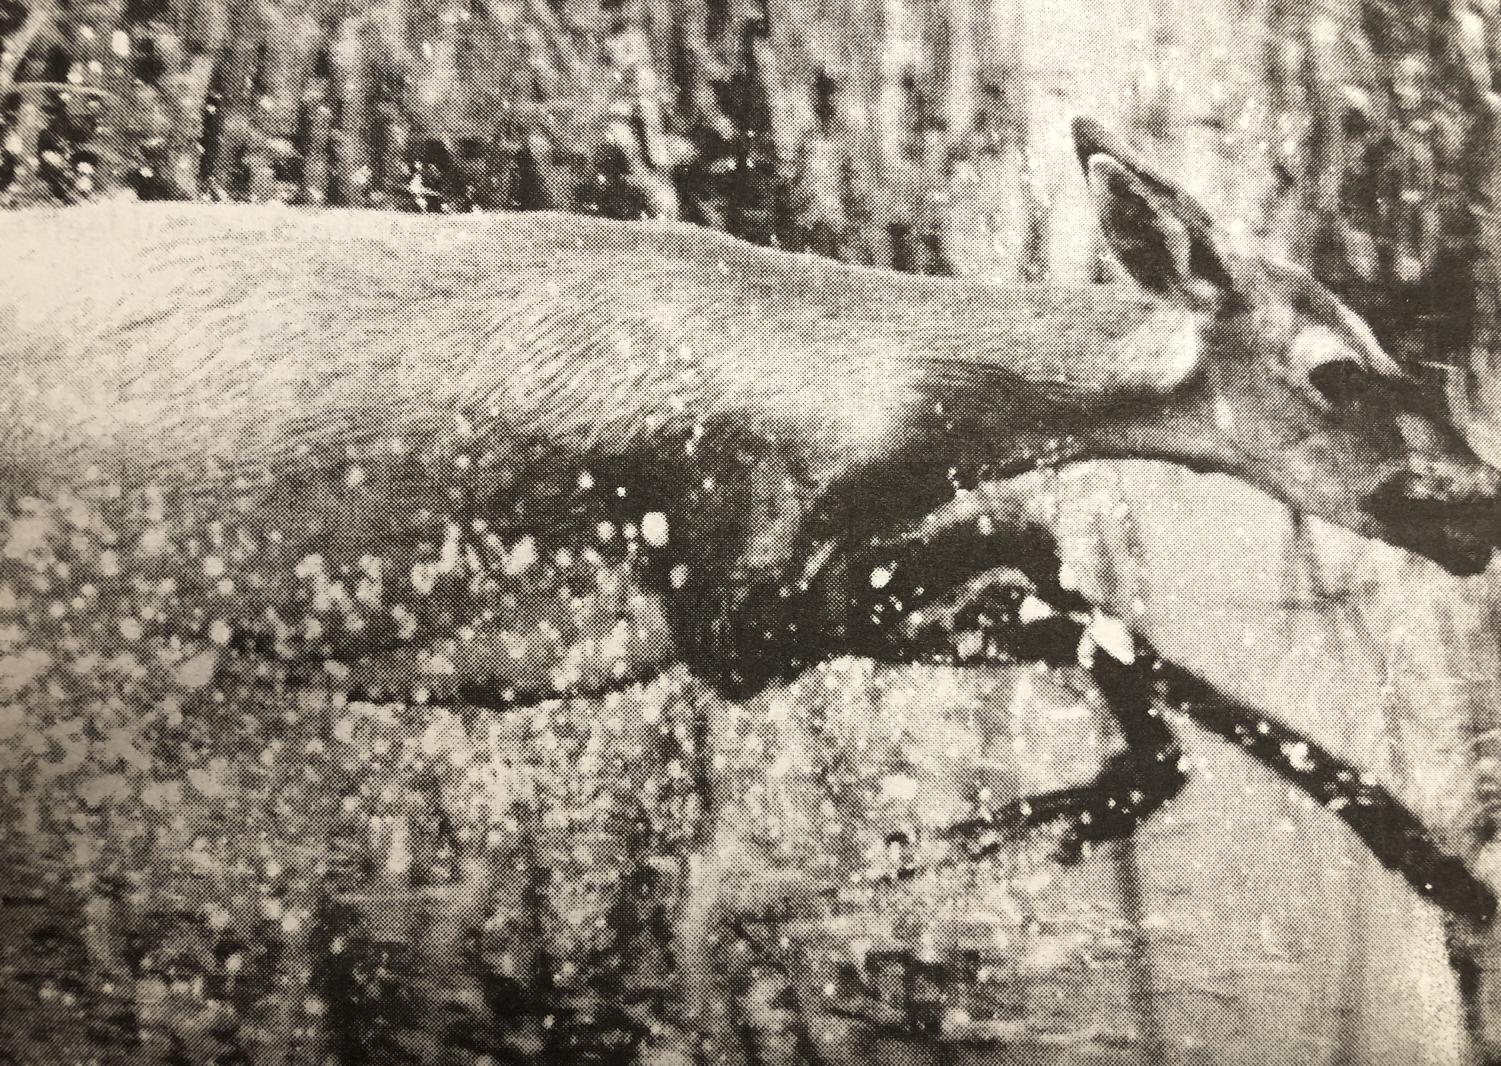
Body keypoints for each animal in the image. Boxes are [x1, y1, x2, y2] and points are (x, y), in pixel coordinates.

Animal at [3, 117, 1501, 1060]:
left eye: (1398, 354)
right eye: (1337, 373)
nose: (1474, 510)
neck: (869, 374)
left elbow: (1067, 589)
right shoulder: (737, 602)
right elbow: (1062, 607)